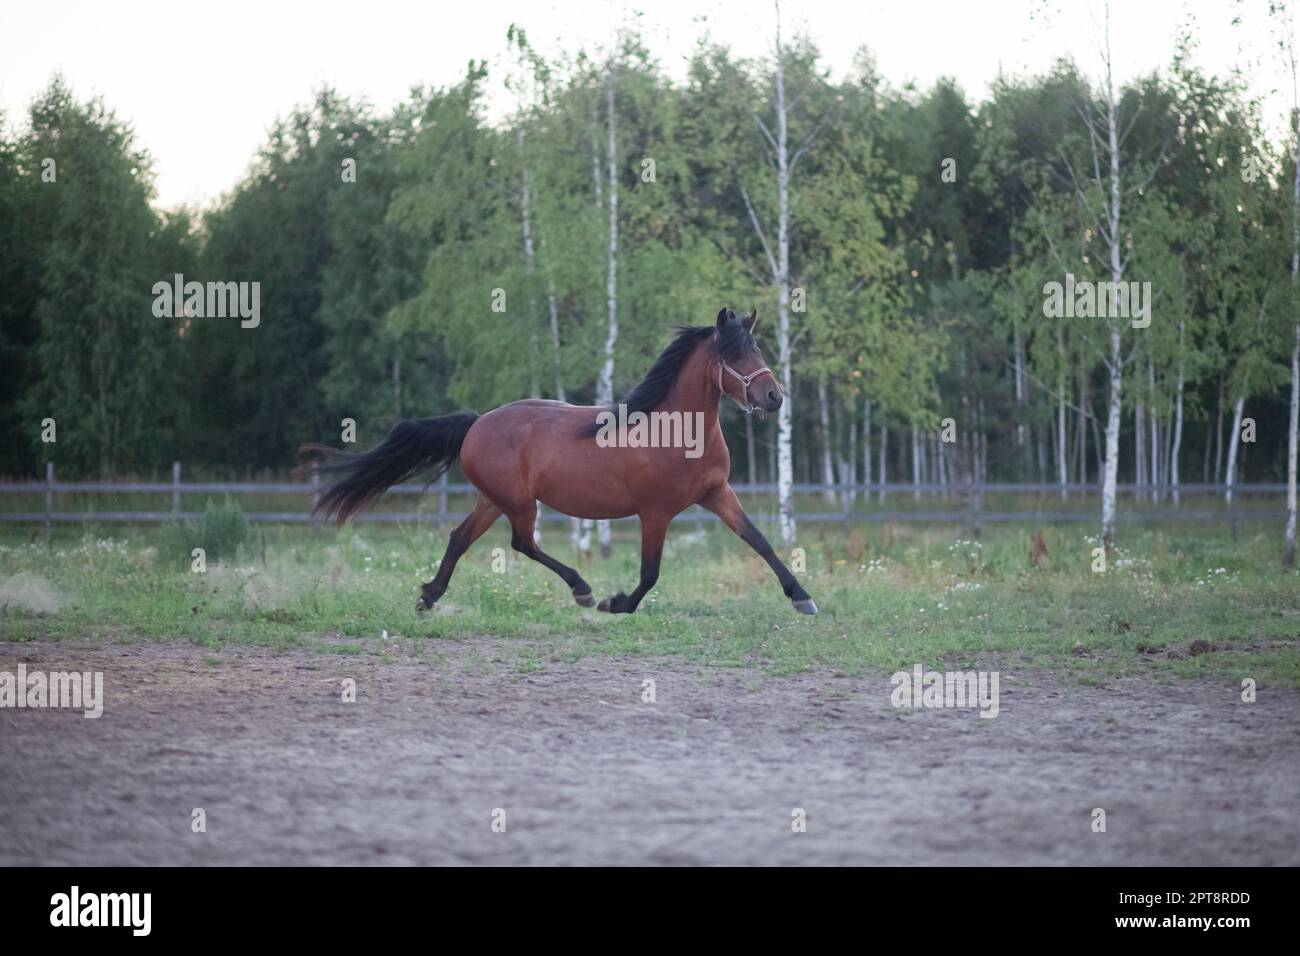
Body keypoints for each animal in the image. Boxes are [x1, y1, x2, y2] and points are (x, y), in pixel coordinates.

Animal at [301, 307, 817, 617]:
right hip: (518, 501)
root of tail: (477, 423)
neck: (677, 432)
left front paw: (802, 598)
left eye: (756, 348)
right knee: (521, 543)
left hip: (494, 499)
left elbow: (761, 542)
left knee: (461, 538)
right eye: (732, 354)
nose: (773, 397)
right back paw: (582, 589)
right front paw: (617, 603)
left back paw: (429, 597)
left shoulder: (717, 494)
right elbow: (650, 572)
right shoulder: (655, 512)